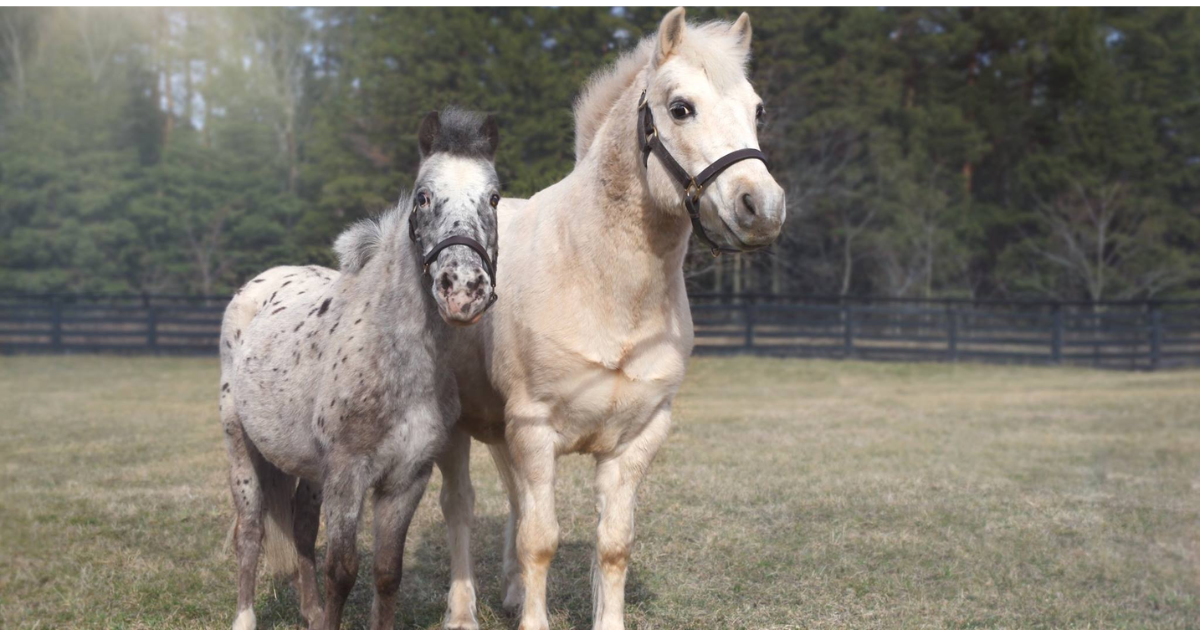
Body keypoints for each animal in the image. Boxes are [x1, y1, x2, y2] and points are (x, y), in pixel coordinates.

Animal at [218, 108, 502, 630]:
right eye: (423, 196)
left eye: (494, 198)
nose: (463, 289)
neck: (394, 360)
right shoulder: (348, 477)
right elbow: (343, 571)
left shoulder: (406, 479)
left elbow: (387, 572)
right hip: (242, 451)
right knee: (250, 533)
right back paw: (245, 618)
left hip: (310, 471)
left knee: (302, 529)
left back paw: (310, 612)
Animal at [435, 8, 786, 630]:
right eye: (680, 107)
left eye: (758, 109)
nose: (761, 207)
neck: (601, 284)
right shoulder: (534, 429)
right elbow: (541, 540)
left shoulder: (635, 440)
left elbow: (613, 545)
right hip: (460, 431)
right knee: (460, 510)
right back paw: (462, 613)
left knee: (510, 500)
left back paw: (507, 593)